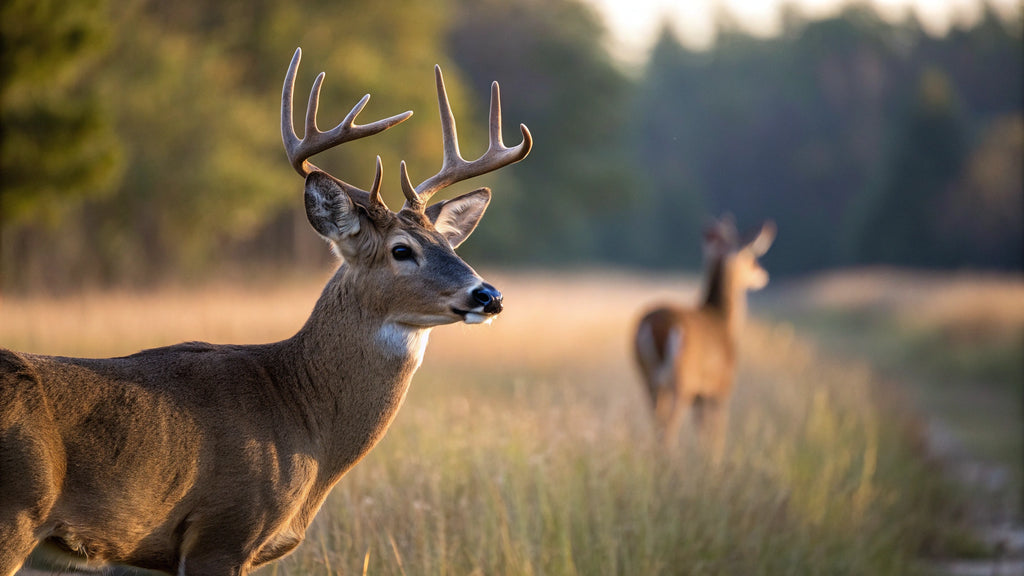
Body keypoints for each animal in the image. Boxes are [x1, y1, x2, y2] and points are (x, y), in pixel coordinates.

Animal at [0, 48, 531, 576]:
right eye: (401, 250)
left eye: (450, 243)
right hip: (15, 517)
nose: (489, 296)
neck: (302, 416)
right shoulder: (225, 530)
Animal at [633, 215, 775, 456]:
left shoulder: (700, 397)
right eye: (750, 256)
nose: (763, 274)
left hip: (648, 379)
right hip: (681, 381)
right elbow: (716, 436)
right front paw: (714, 463)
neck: (725, 324)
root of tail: (658, 325)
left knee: (658, 427)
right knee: (669, 430)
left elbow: (702, 435)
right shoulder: (721, 387)